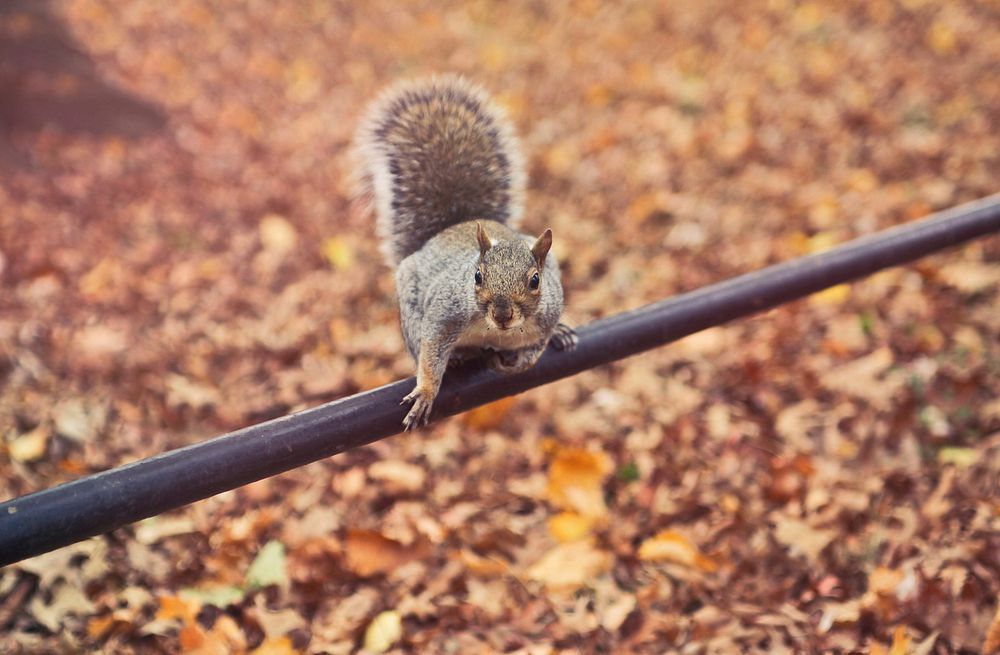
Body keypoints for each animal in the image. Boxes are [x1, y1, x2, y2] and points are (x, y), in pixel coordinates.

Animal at [351, 74, 577, 430]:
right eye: (477, 276)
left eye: (535, 281)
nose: (502, 314)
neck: (497, 332)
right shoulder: (444, 313)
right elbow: (430, 352)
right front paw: (426, 391)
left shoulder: (547, 313)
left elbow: (535, 350)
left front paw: (523, 360)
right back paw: (460, 356)